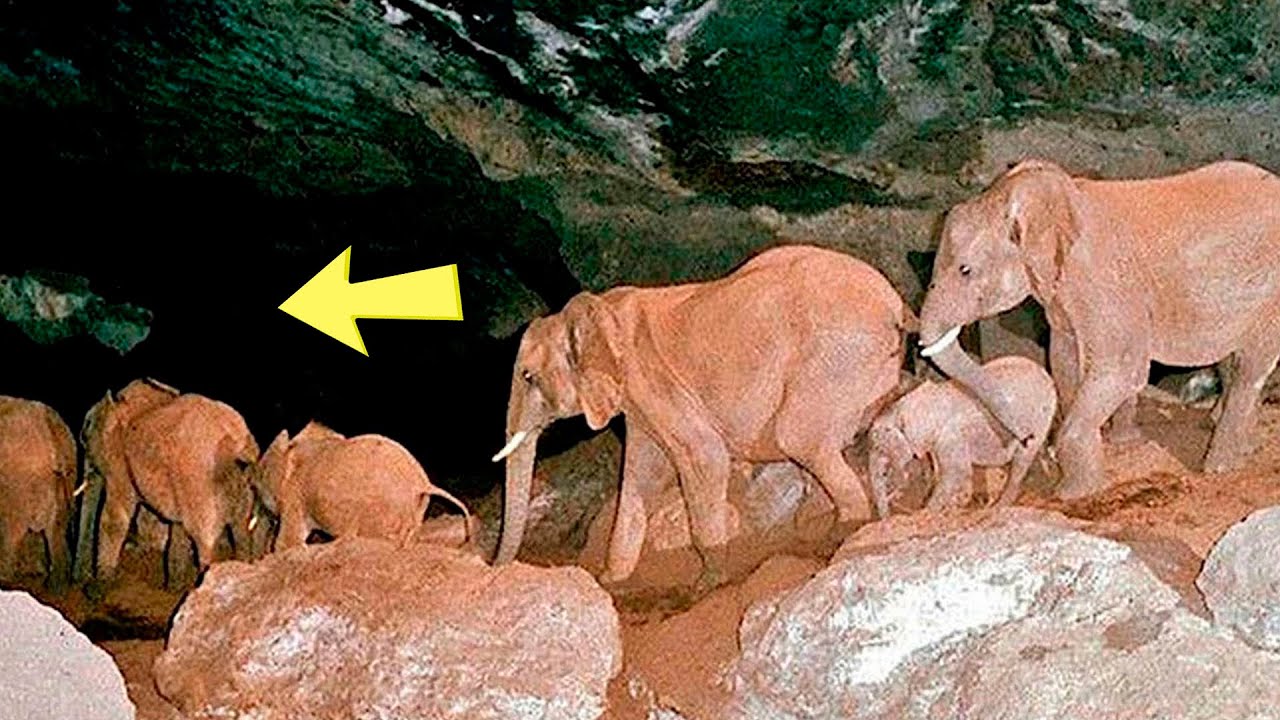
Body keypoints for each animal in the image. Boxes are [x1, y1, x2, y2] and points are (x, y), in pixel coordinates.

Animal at [79, 378, 260, 583]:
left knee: (205, 543)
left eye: (84, 437)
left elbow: (114, 519)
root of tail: (239, 448)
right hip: (240, 486)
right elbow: (177, 527)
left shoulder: (119, 462)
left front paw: (99, 587)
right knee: (241, 532)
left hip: (200, 484)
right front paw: (172, 585)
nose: (80, 580)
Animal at [490, 244, 916, 588]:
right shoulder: (640, 404)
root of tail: (896, 306)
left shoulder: (654, 383)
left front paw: (707, 583)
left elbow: (705, 459)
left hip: (837, 360)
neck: (599, 311)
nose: (495, 567)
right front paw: (611, 581)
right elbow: (639, 478)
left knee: (798, 438)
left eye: (528, 377)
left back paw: (839, 536)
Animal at [868, 354, 1057, 517]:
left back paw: (998, 507)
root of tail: (1047, 376)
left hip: (1039, 415)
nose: (885, 518)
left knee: (1021, 461)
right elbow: (947, 471)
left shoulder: (951, 434)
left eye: (879, 447)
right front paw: (952, 507)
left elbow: (955, 471)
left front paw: (927, 512)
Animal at [917, 158, 1280, 500]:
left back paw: (1220, 466)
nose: (1029, 438)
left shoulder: (1104, 285)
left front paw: (1074, 493)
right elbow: (1063, 363)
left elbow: (1121, 371)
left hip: (1271, 298)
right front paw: (1109, 454)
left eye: (965, 270)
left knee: (1250, 368)